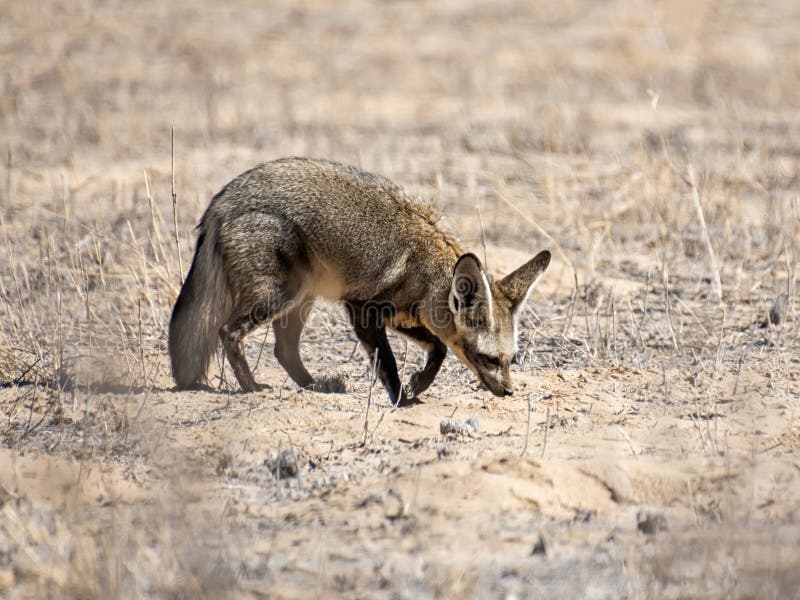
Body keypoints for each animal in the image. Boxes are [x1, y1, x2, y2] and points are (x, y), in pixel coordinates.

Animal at [168, 158, 550, 404]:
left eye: (510, 360)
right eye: (488, 359)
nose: (509, 392)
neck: (429, 272)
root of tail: (221, 201)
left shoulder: (402, 316)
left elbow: (439, 349)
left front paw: (419, 383)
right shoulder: (362, 307)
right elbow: (388, 363)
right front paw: (401, 400)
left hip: (301, 299)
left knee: (283, 349)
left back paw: (314, 387)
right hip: (279, 295)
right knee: (228, 332)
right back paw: (251, 387)